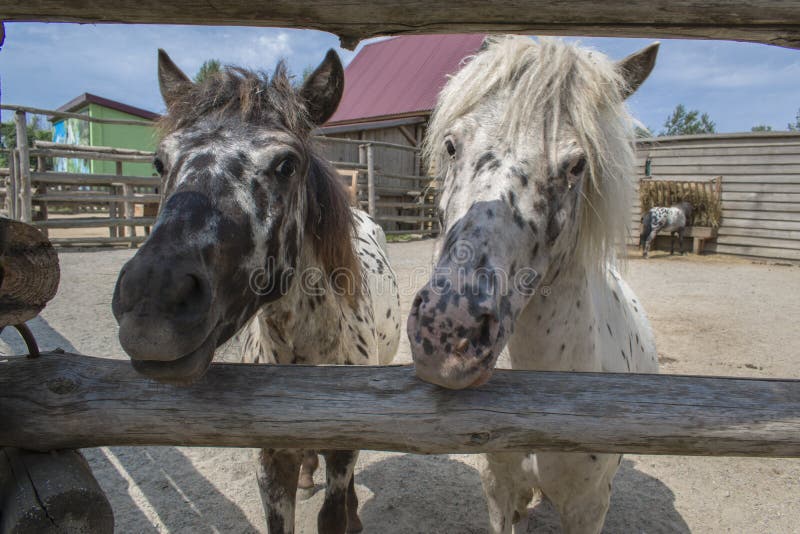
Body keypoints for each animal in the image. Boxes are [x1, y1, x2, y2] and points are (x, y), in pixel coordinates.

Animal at [111, 49, 401, 534]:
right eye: (159, 163)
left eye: (286, 164)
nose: (151, 303)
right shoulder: (268, 464)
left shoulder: (344, 451)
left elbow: (335, 510)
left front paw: (351, 514)